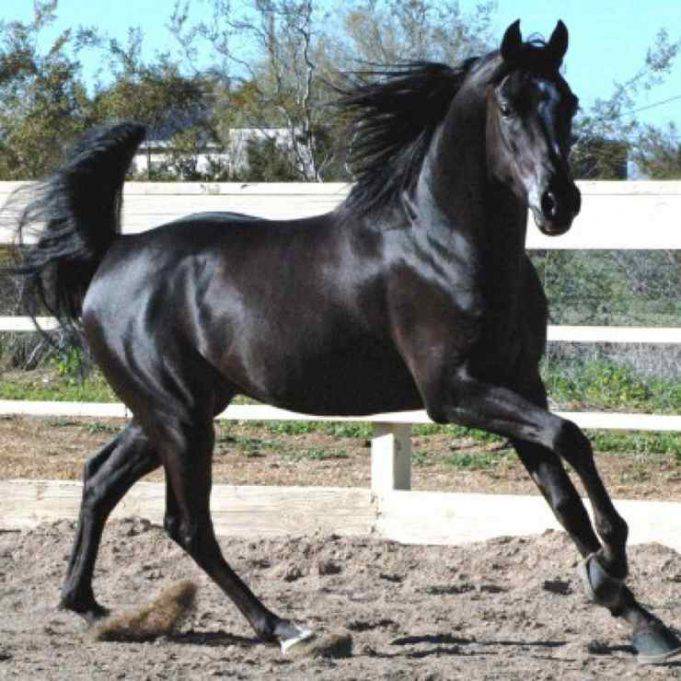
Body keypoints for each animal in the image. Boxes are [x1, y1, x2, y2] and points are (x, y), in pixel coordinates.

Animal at [10, 19, 680, 664]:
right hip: (178, 418)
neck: (445, 247)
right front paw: (612, 560)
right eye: (510, 105)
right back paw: (286, 629)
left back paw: (91, 608)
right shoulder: (454, 392)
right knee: (188, 523)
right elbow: (570, 436)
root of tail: (112, 254)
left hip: (174, 411)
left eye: (567, 102)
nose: (557, 202)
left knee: (100, 479)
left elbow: (561, 491)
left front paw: (640, 619)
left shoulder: (517, 383)